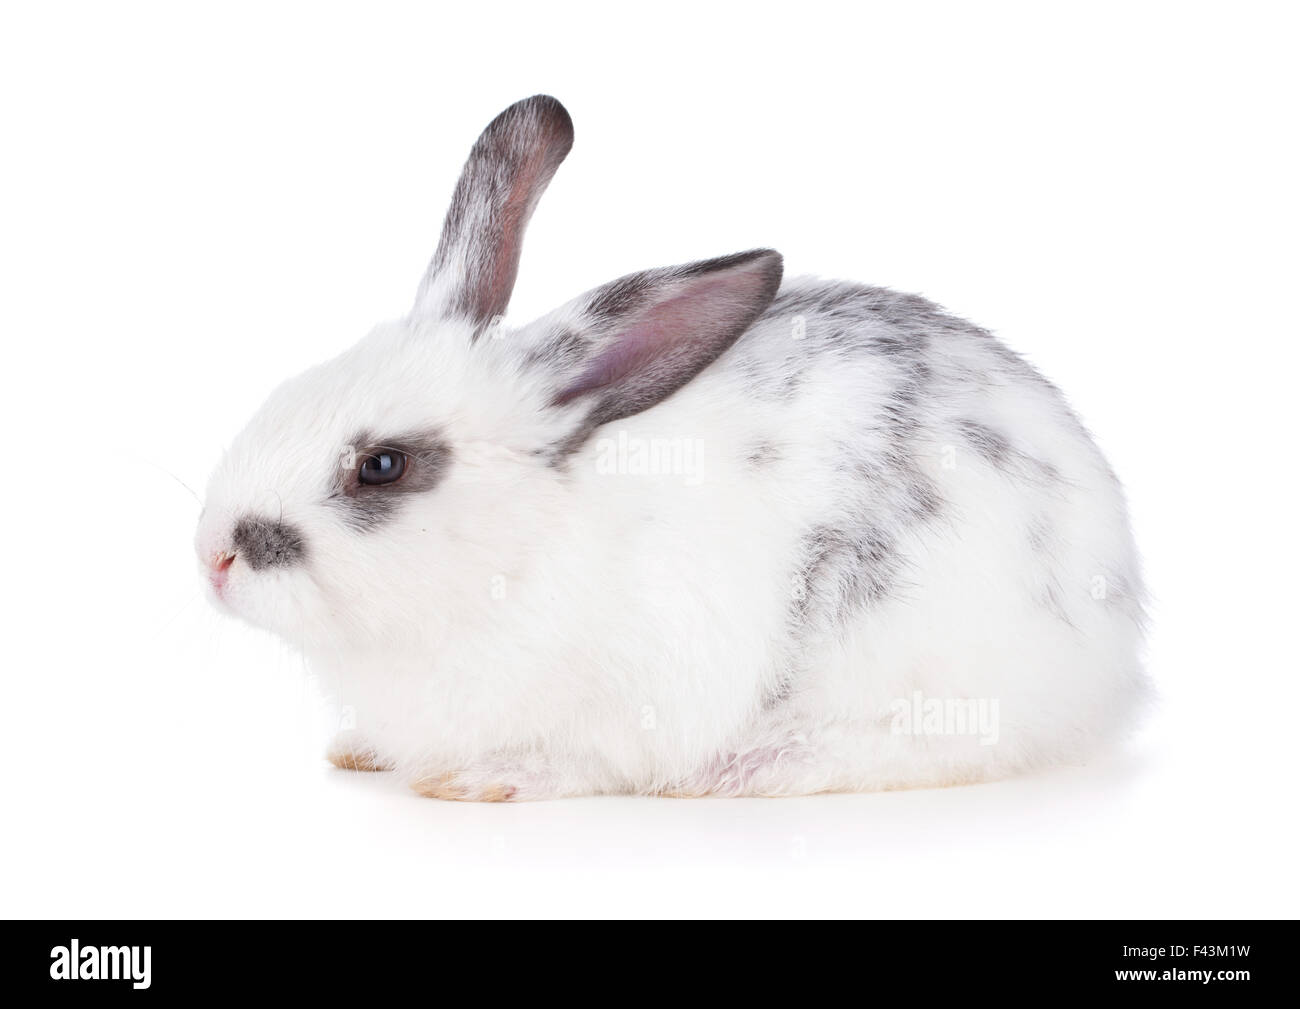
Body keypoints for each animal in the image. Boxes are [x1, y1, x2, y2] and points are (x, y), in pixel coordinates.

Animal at [195, 95, 1147, 801]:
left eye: (382, 465)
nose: (214, 557)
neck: (517, 549)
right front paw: (359, 749)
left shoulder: (643, 689)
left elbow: (577, 759)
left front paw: (483, 778)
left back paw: (755, 768)